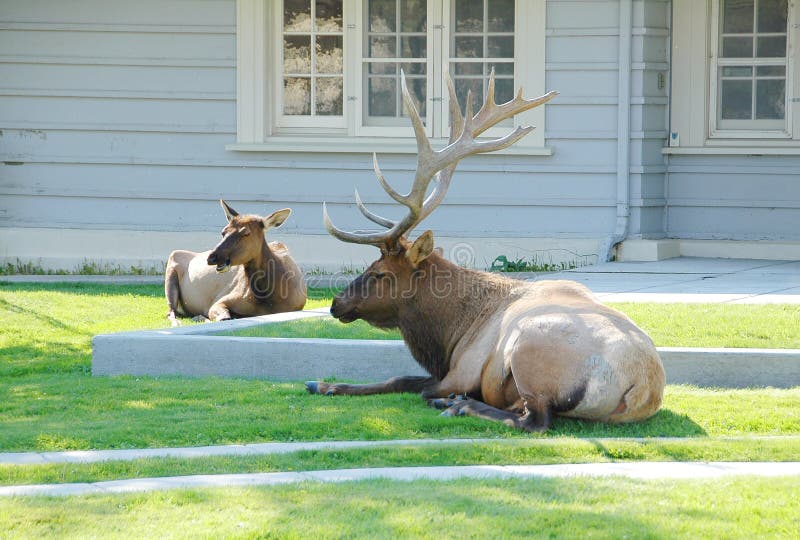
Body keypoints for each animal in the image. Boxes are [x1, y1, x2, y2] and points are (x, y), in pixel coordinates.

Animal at [164, 200, 307, 326]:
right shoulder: (219, 301)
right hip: (172, 267)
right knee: (171, 312)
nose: (212, 257)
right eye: (223, 232)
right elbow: (222, 318)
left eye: (246, 233)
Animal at [305, 71, 665, 432]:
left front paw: (325, 384)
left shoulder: (462, 370)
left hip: (528, 351)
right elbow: (401, 379)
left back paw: (457, 405)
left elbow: (408, 382)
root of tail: (641, 386)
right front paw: (323, 384)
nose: (336, 303)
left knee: (534, 419)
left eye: (378, 273)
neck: (450, 336)